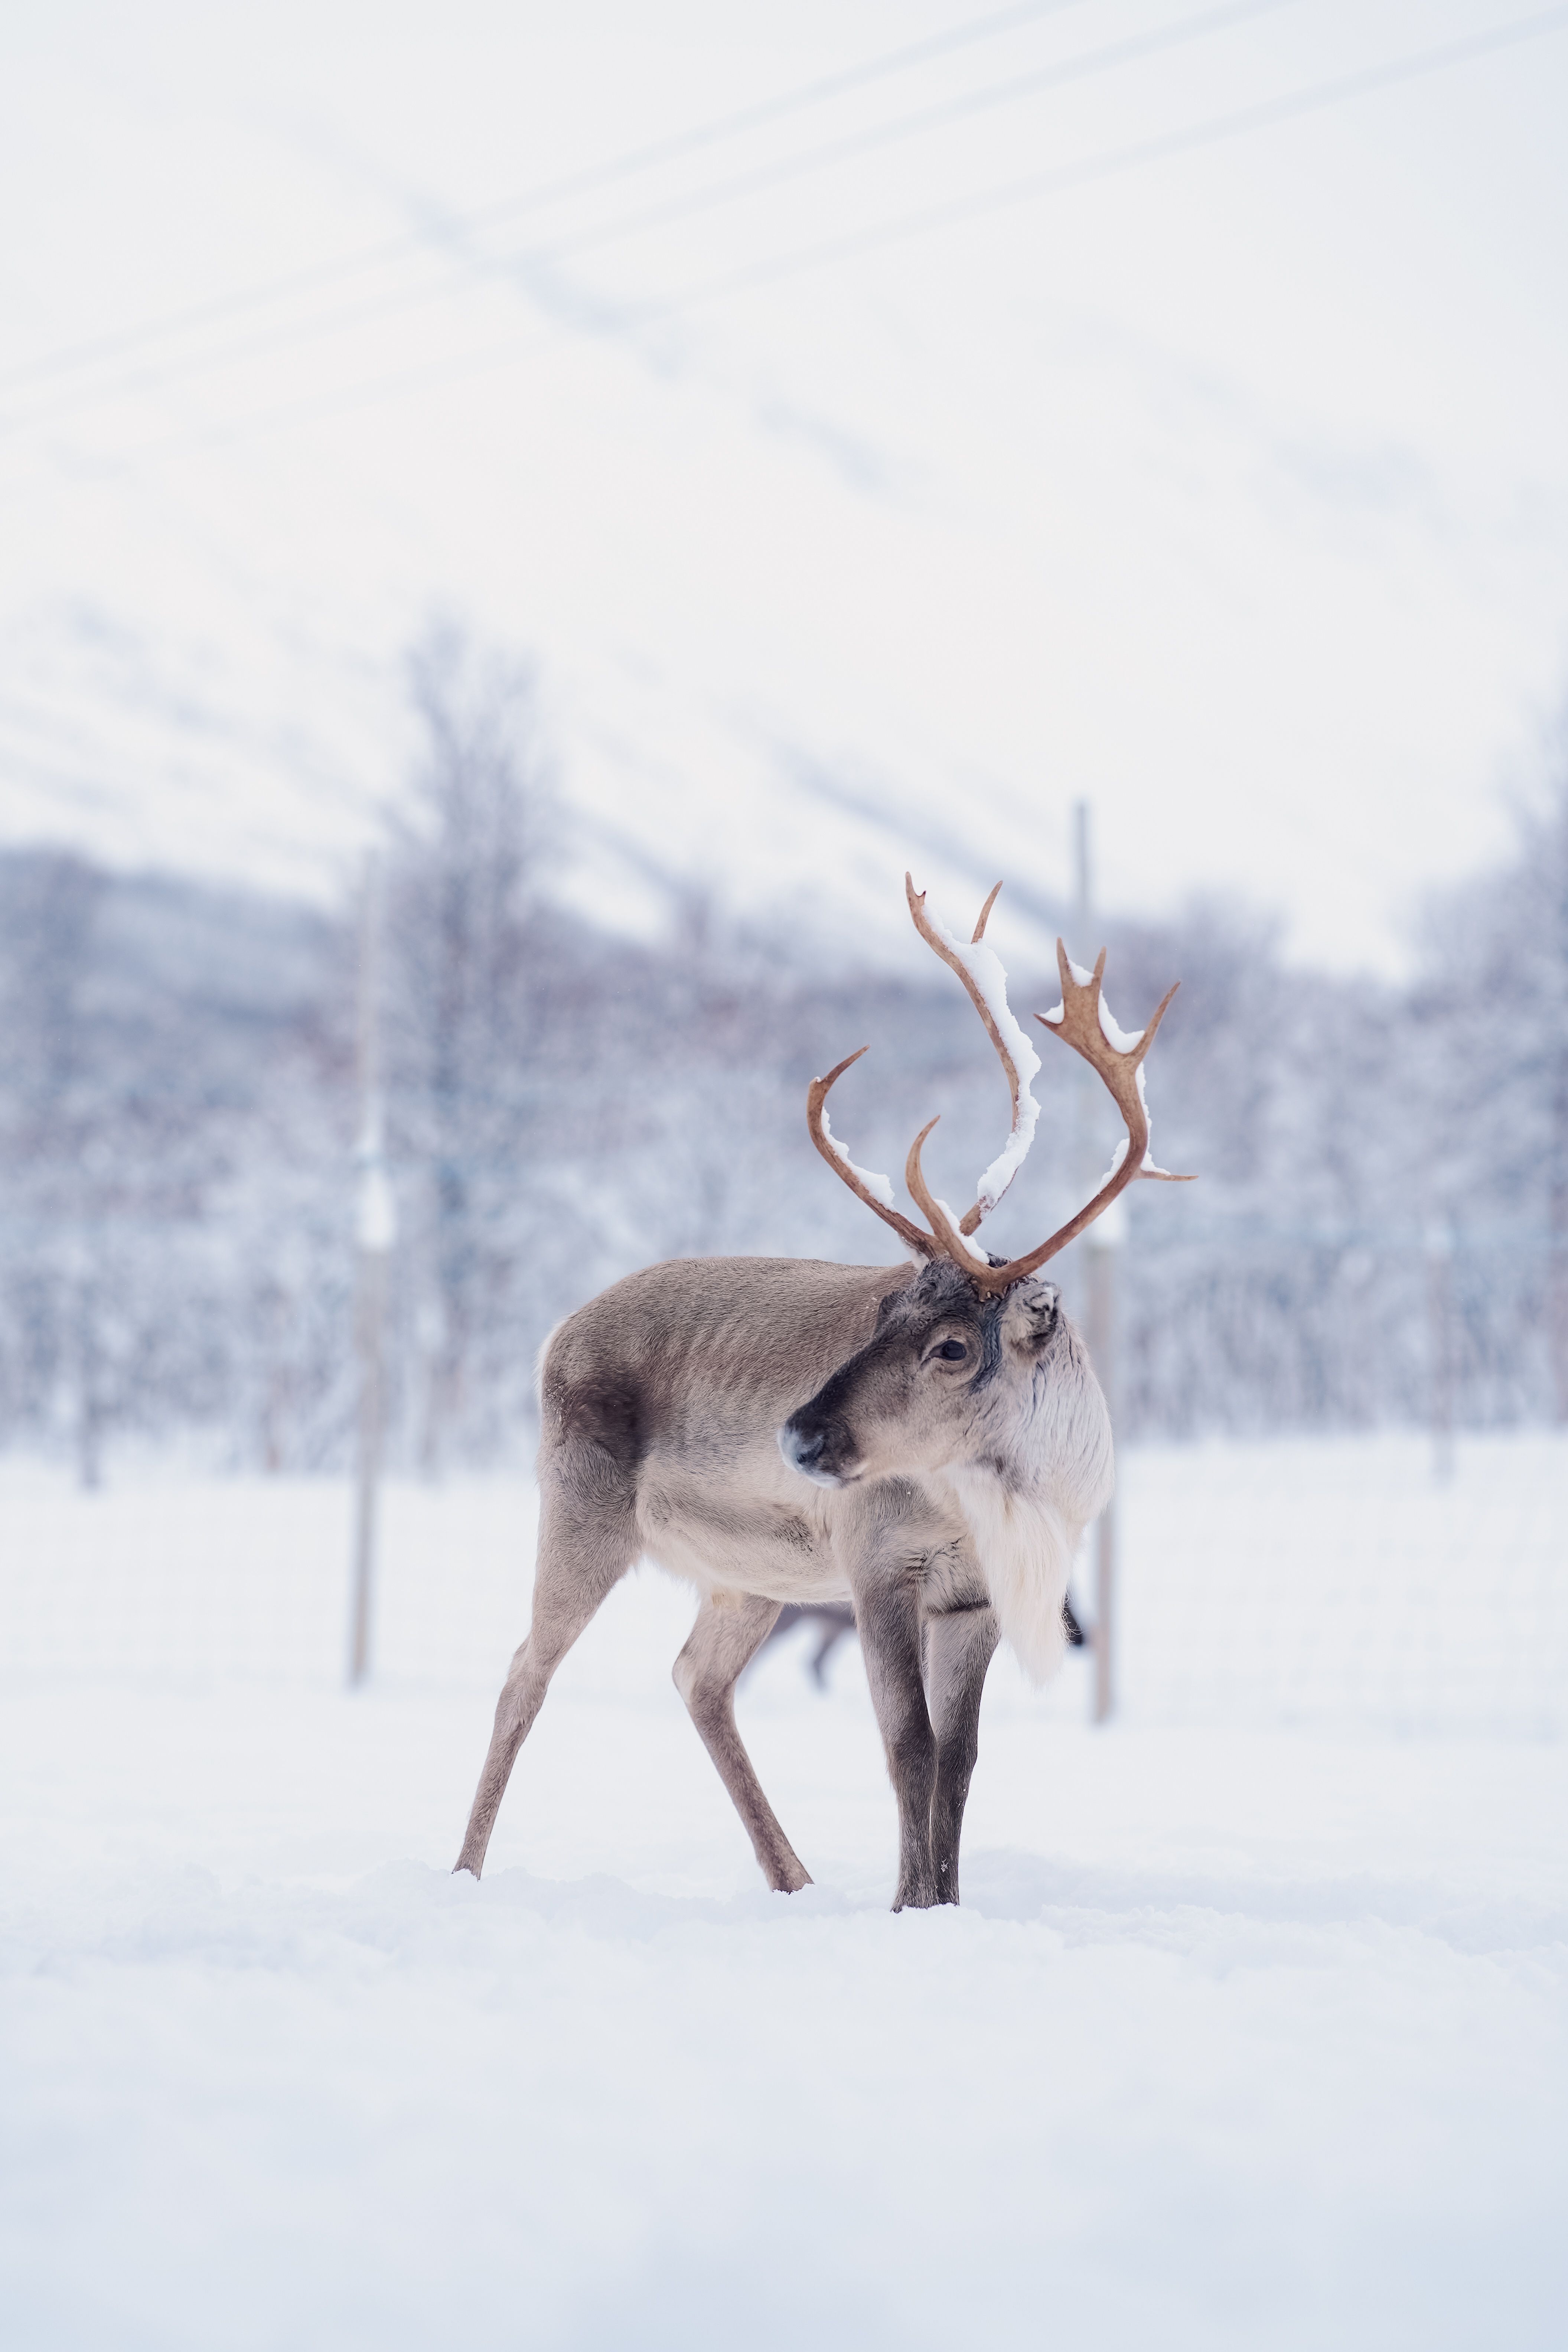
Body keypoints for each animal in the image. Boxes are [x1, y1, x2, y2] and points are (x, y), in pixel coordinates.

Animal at [455, 874, 1190, 1909]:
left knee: (696, 1677)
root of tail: (556, 1331)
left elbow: (960, 1758)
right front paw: (908, 1904)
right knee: (525, 1672)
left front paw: (943, 1902)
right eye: (881, 1311)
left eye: (951, 1345)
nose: (797, 1434)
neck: (1001, 1503)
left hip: (745, 1574)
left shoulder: (972, 1597)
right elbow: (906, 1745)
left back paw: (793, 1879)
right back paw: (464, 1870)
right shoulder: (875, 1561)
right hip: (581, 1510)